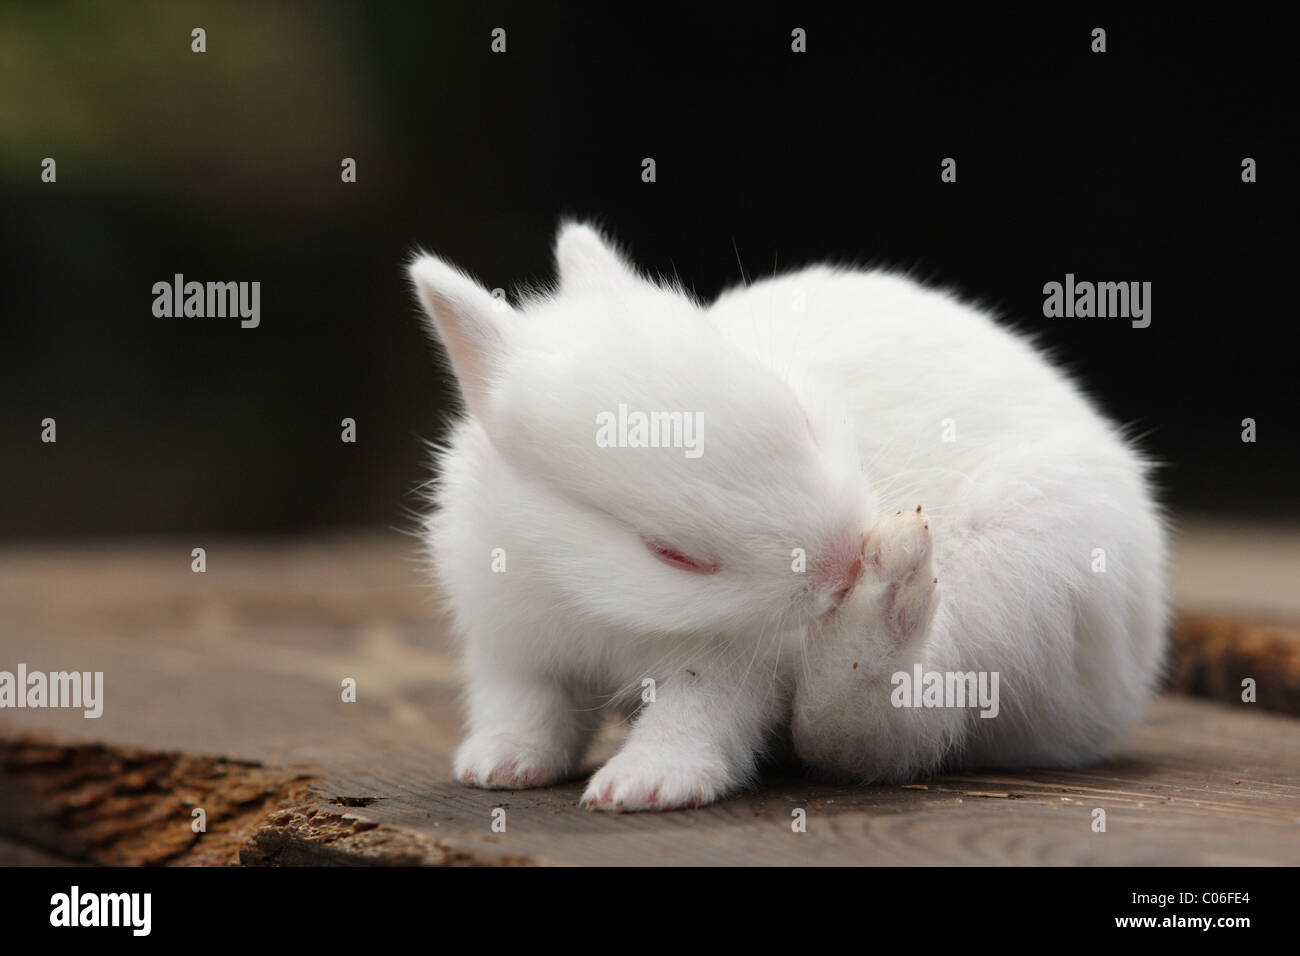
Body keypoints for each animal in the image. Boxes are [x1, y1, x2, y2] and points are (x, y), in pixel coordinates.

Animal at [407, 222, 1168, 811]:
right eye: (671, 554)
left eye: (797, 411)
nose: (842, 559)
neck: (594, 603)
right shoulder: (510, 643)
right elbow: (526, 706)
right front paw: (497, 766)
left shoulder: (733, 665)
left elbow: (698, 714)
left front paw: (644, 785)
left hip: (1026, 578)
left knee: (878, 732)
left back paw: (892, 584)